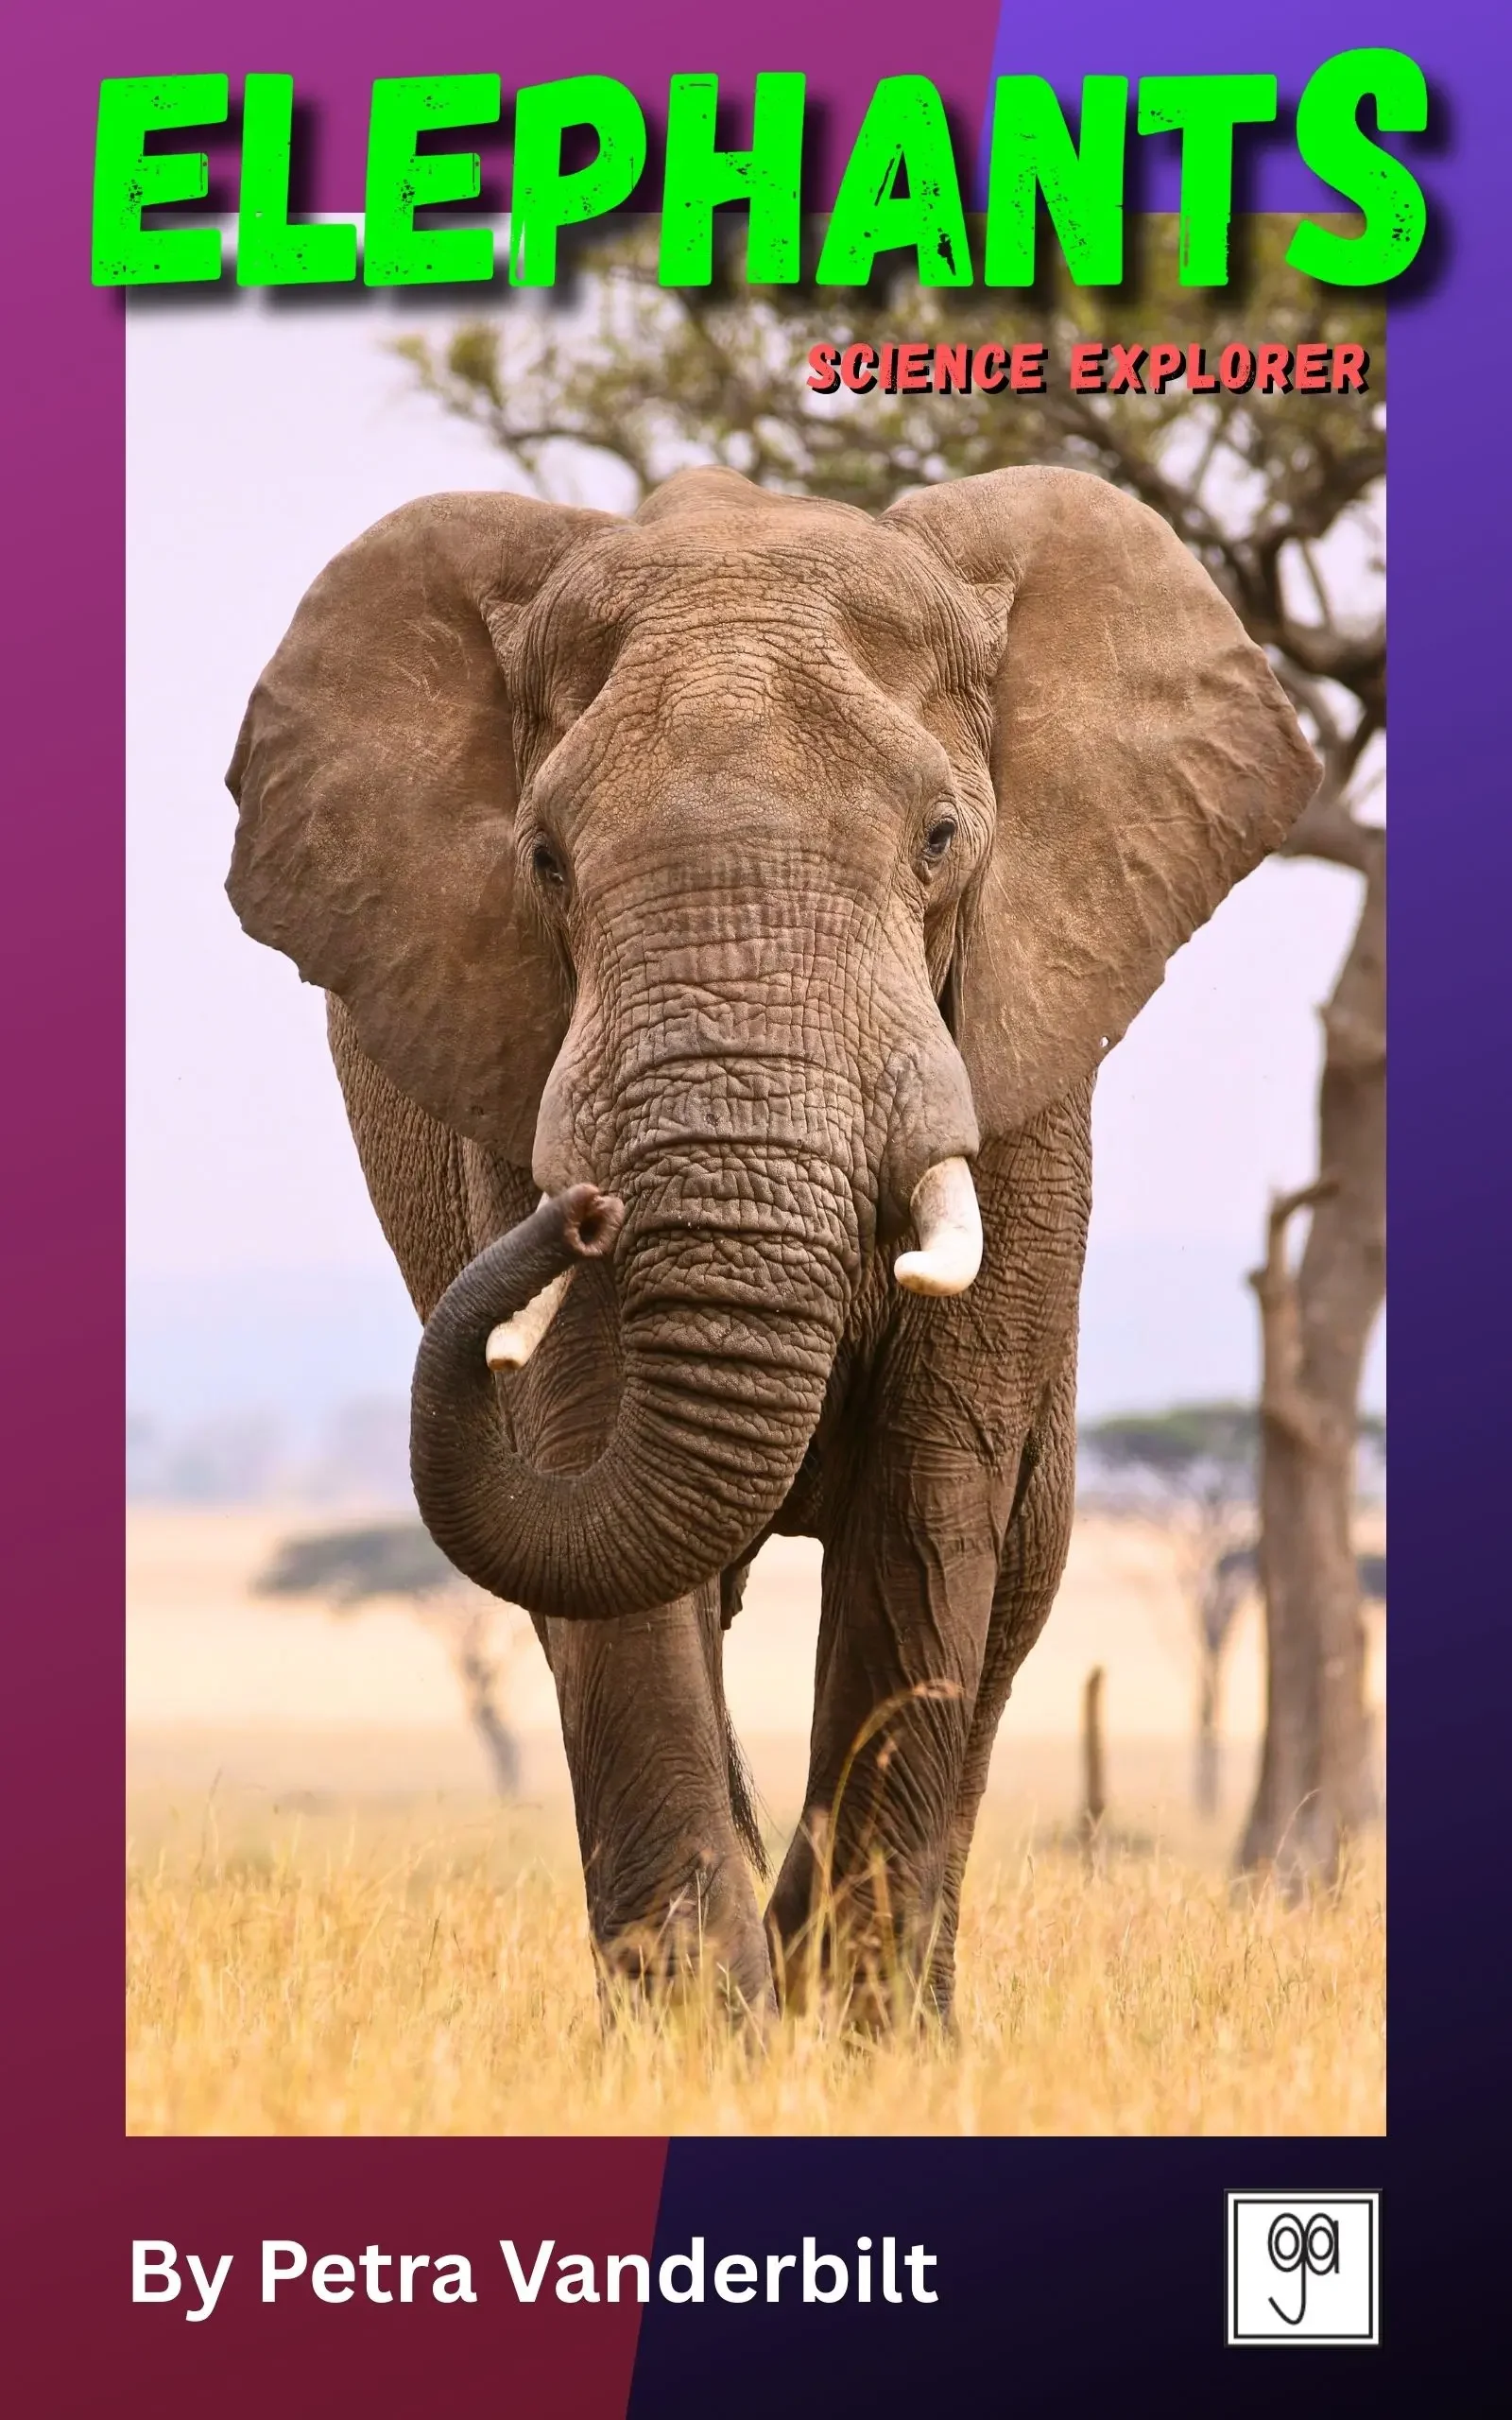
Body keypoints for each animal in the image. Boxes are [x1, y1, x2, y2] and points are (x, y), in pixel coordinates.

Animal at [225, 463, 1318, 2024]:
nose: (585, 1211)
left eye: (941, 840)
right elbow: (588, 1477)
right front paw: (701, 2038)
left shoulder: (1018, 1087)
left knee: (1013, 1587)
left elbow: (936, 1494)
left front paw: (854, 2038)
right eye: (544, 861)